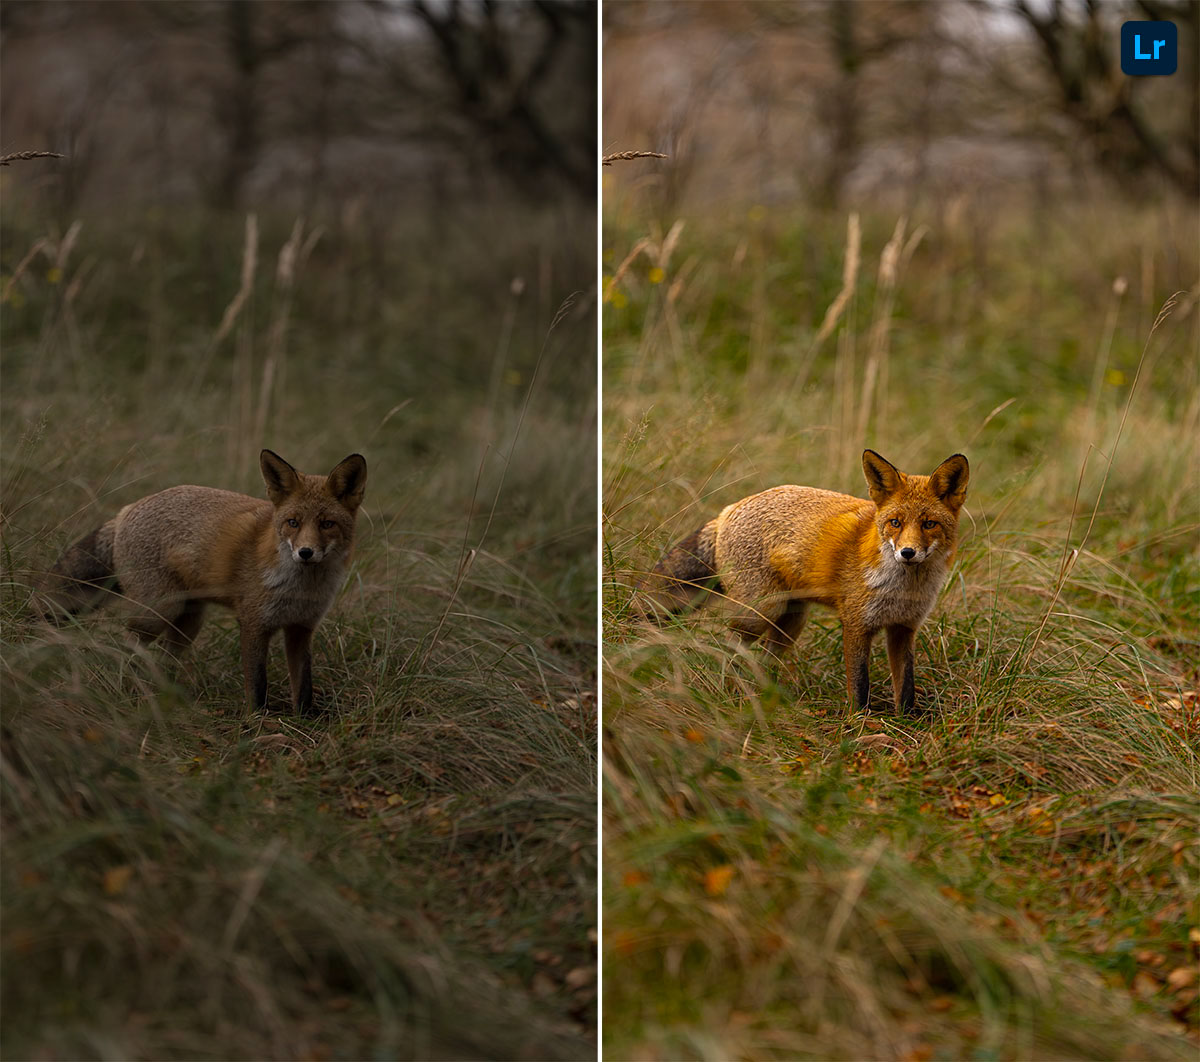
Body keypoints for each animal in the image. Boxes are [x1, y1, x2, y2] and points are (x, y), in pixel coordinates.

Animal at [41, 450, 367, 713]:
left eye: (327, 524)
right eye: (293, 523)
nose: (305, 552)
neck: (300, 589)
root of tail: (127, 510)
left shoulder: (301, 629)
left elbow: (303, 687)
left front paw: (304, 721)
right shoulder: (253, 622)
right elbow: (257, 685)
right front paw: (257, 724)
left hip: (188, 621)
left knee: (165, 658)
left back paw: (167, 696)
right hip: (159, 613)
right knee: (128, 644)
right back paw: (134, 689)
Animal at [637, 450, 969, 713]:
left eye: (929, 524)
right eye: (895, 523)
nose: (907, 552)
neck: (903, 589)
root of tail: (729, 509)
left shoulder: (904, 628)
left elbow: (906, 687)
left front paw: (906, 723)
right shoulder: (856, 624)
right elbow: (859, 686)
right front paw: (860, 725)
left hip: (792, 620)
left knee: (767, 657)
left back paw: (768, 695)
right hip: (761, 613)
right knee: (728, 643)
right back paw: (733, 688)